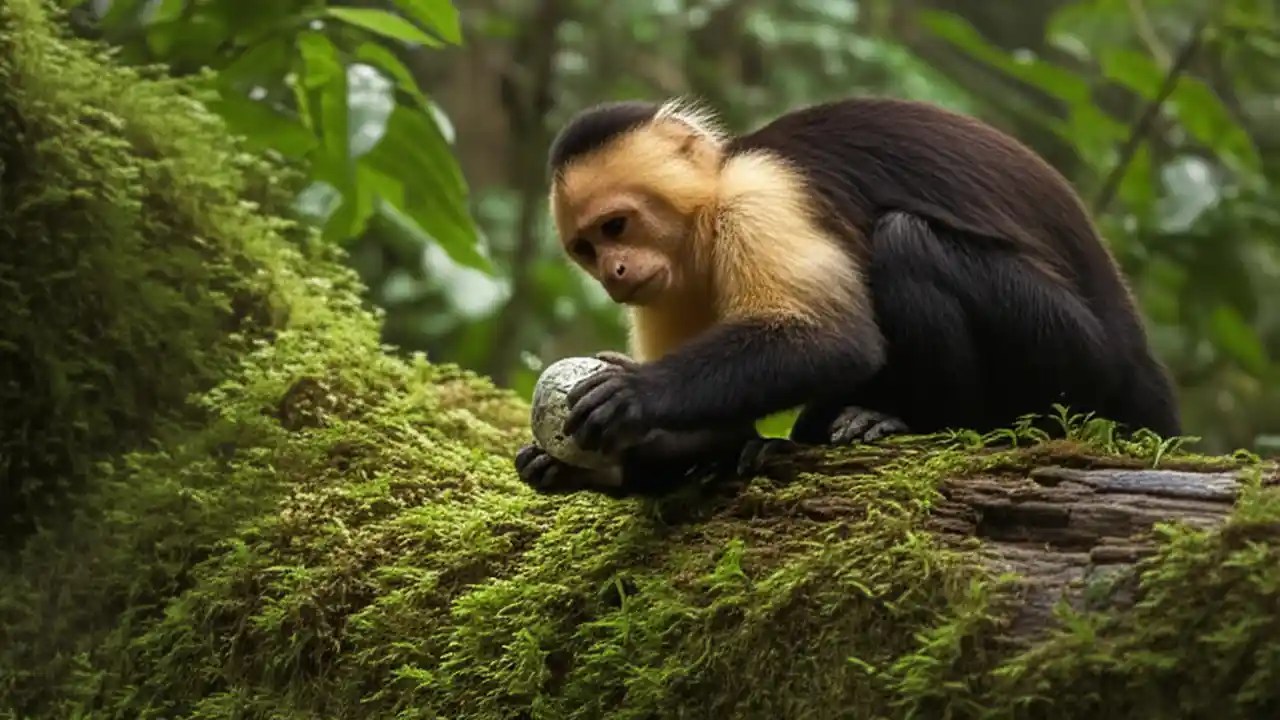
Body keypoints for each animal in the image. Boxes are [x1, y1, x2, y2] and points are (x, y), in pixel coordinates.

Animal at [514, 96, 1182, 497]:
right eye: (586, 248)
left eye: (617, 226)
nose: (615, 273)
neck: (705, 218)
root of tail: (1143, 368)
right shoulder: (667, 289)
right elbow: (715, 429)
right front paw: (604, 463)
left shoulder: (757, 199)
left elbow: (836, 342)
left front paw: (636, 392)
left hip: (1078, 360)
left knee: (905, 241)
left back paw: (922, 423)